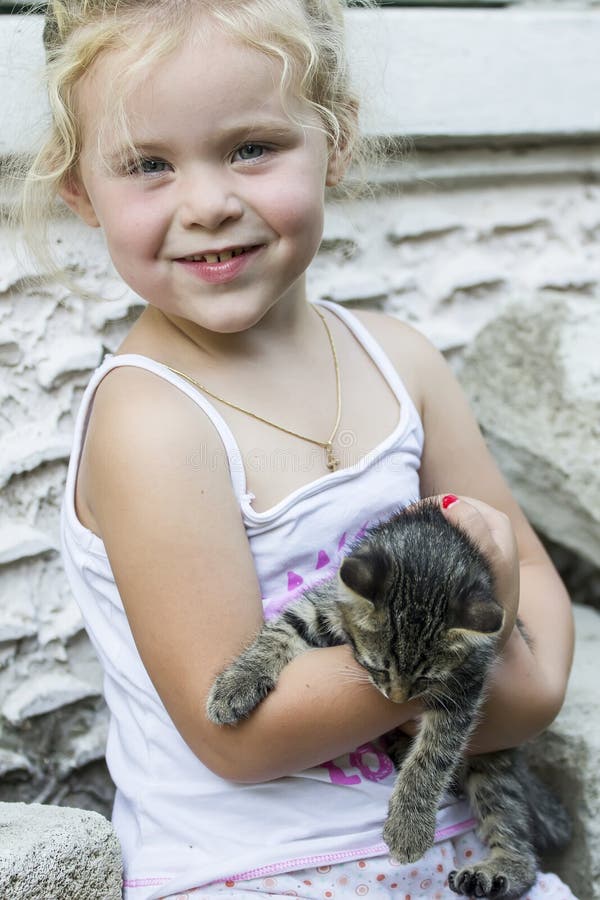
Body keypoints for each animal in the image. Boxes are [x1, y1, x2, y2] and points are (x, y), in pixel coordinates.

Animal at [207, 498, 571, 900]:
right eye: (379, 666)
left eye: (426, 678)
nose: (397, 700)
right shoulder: (323, 604)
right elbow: (280, 631)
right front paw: (237, 683)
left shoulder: (464, 684)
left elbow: (434, 756)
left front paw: (409, 827)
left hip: (493, 765)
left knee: (512, 823)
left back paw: (499, 870)